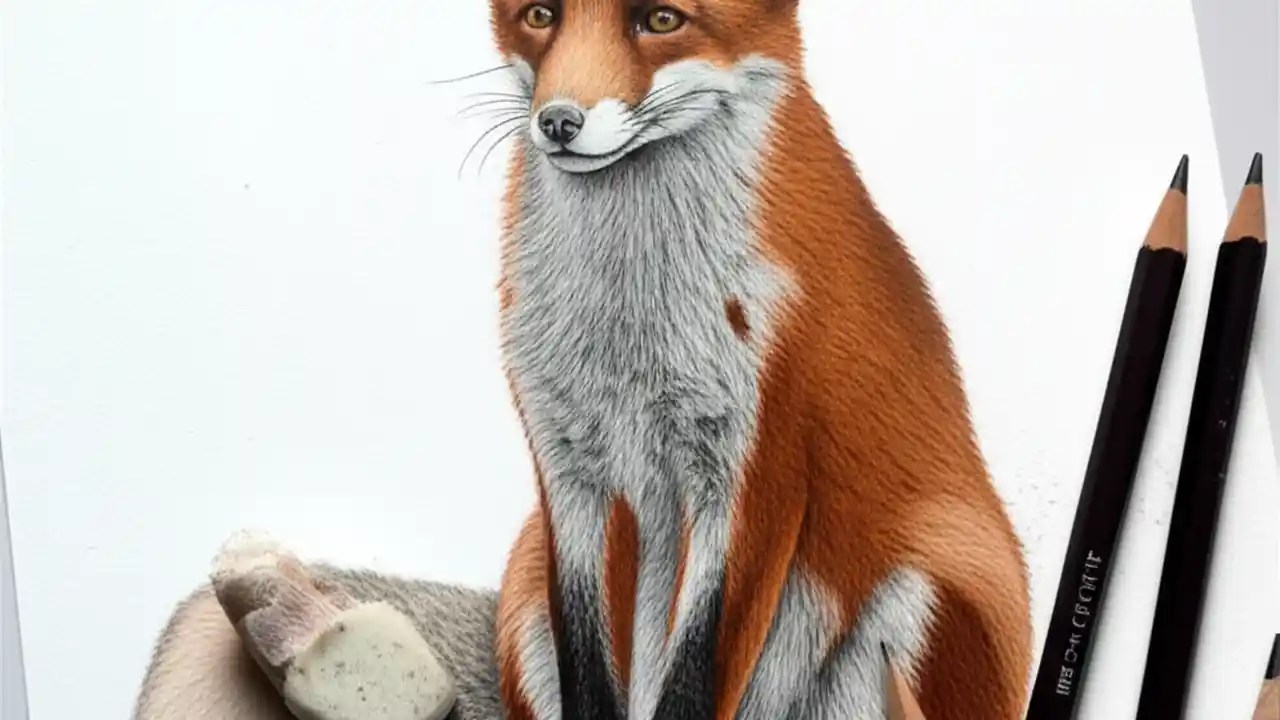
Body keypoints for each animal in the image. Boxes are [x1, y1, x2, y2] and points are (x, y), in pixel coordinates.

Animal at [134, 2, 1033, 720]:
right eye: (541, 15)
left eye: (661, 19)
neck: (630, 321)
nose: (558, 122)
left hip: (935, 588)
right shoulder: (567, 469)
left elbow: (695, 677)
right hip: (524, 582)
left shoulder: (753, 475)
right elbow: (590, 671)